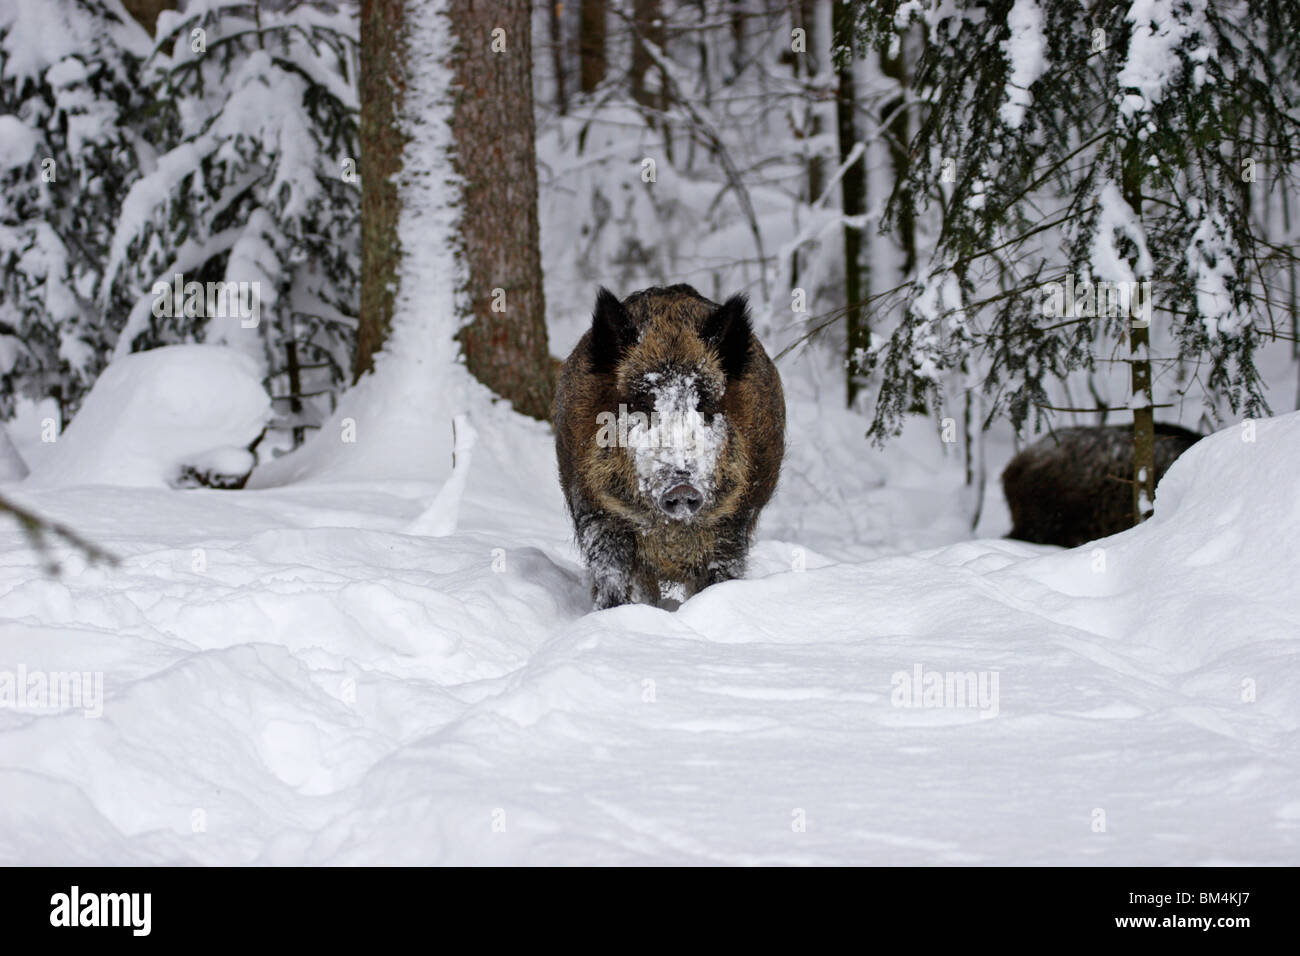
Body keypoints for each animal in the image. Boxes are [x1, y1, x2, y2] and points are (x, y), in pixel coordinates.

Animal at [553, 284, 785, 609]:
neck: (668, 530)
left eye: (704, 405)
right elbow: (612, 577)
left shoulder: (734, 520)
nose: (682, 486)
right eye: (641, 404)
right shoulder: (597, 510)